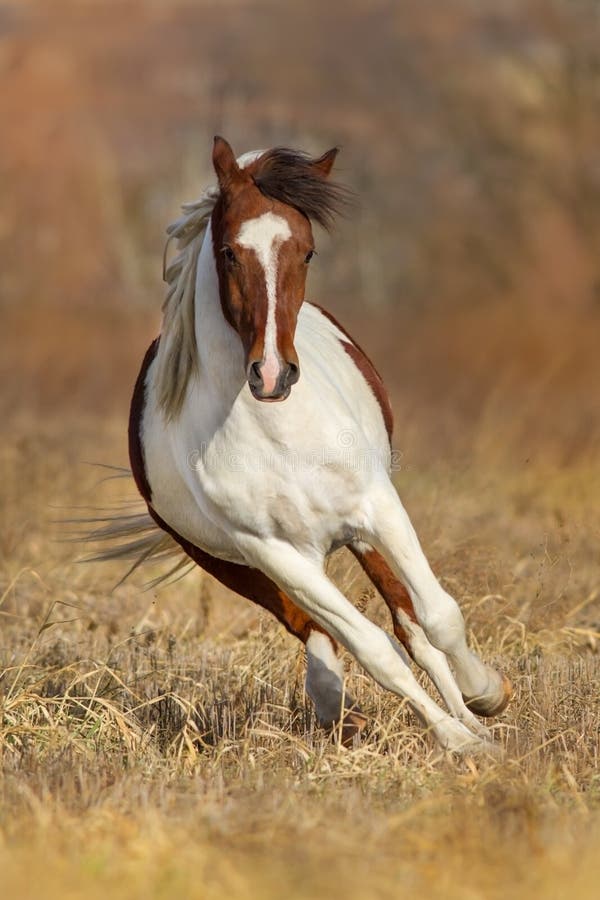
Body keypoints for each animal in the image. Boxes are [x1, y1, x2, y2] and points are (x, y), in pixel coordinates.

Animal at [126, 137, 511, 752]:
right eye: (229, 252)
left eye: (306, 253)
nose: (271, 374)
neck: (277, 432)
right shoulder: (273, 554)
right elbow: (374, 650)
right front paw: (457, 741)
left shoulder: (377, 506)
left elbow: (439, 617)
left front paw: (485, 702)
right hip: (240, 566)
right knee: (325, 633)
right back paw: (337, 704)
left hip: (358, 533)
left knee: (410, 624)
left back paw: (469, 710)